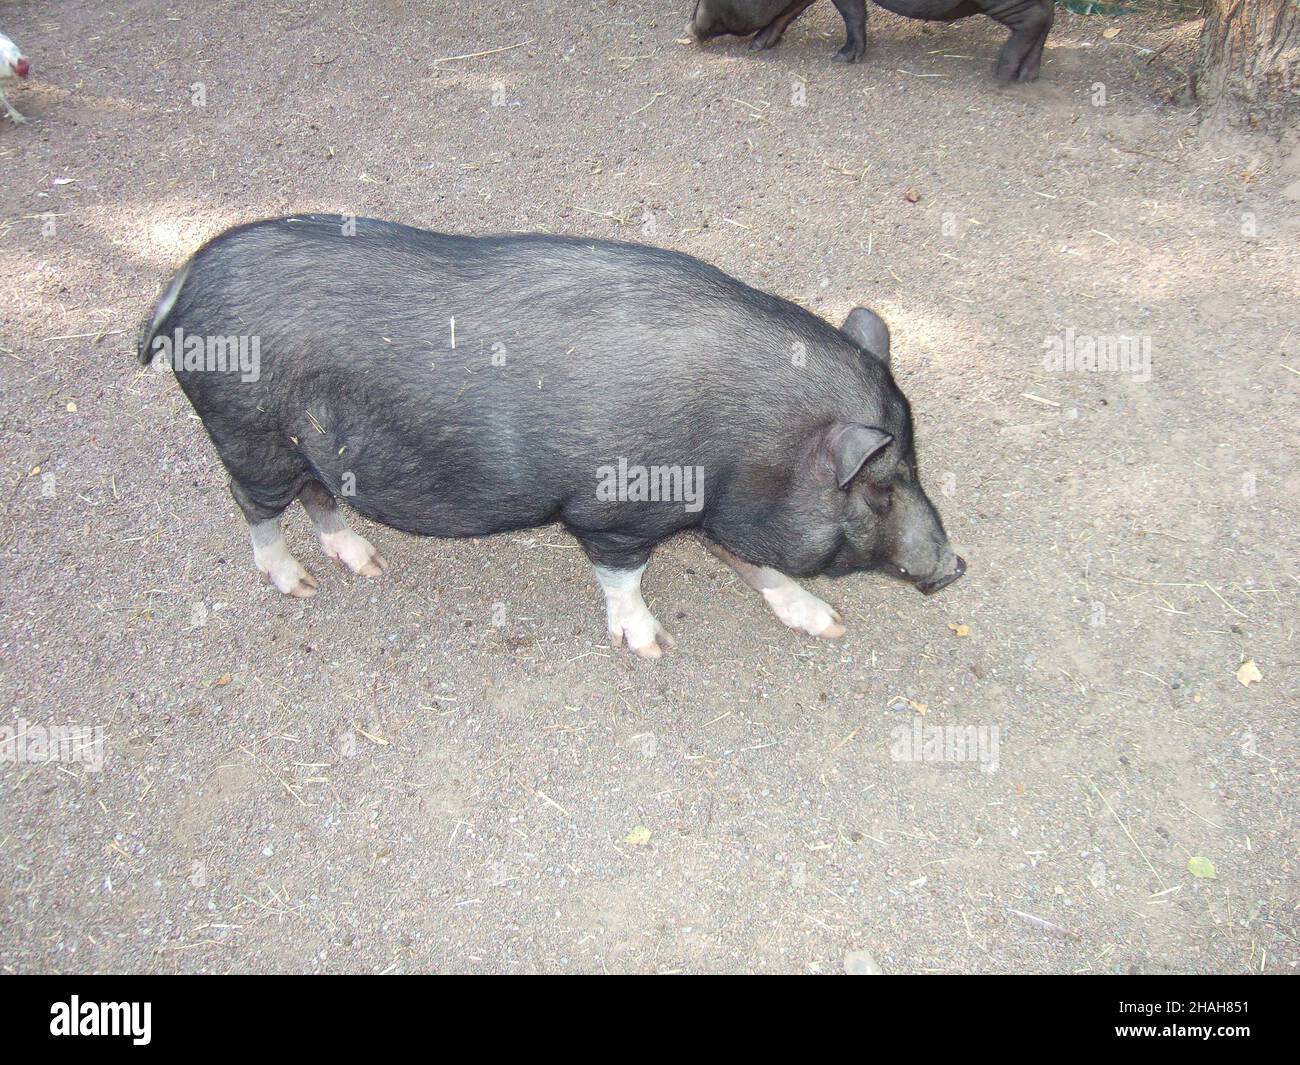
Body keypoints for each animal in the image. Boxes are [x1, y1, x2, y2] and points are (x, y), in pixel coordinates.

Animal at [138, 215, 965, 658]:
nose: (955, 565)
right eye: (881, 487)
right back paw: (297, 583)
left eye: (914, 465)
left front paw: (830, 626)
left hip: (309, 447)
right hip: (247, 434)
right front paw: (652, 646)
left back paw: (366, 564)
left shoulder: (713, 512)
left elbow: (755, 564)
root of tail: (182, 280)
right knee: (254, 507)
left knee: (319, 497)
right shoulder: (618, 511)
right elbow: (623, 576)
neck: (752, 444)